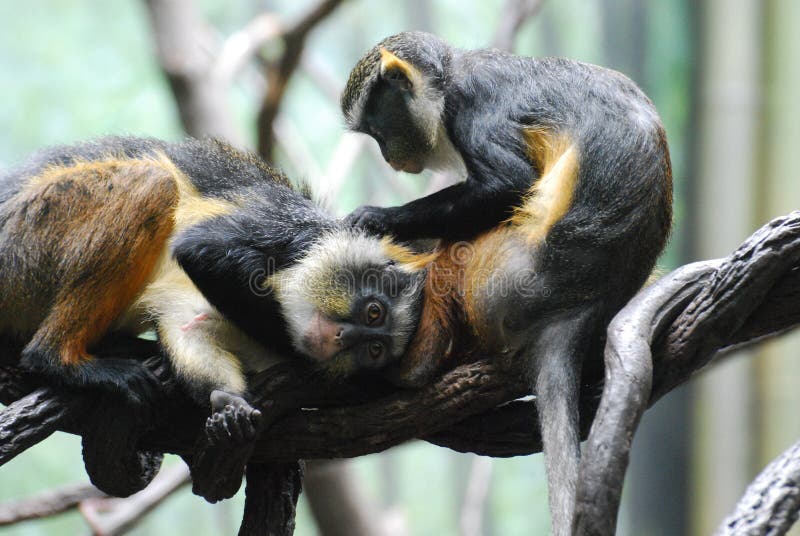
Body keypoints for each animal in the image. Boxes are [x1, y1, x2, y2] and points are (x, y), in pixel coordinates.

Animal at [0, 136, 426, 445]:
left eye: (374, 348)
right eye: (373, 311)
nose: (343, 337)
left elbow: (191, 329)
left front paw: (227, 402)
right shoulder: (289, 227)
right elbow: (203, 249)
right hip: (27, 241)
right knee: (151, 184)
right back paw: (59, 358)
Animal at [341, 32, 673, 535]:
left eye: (379, 127)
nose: (389, 157)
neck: (450, 76)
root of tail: (582, 304)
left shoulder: (472, 104)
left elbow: (507, 185)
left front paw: (378, 218)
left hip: (502, 278)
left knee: (456, 248)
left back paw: (413, 368)